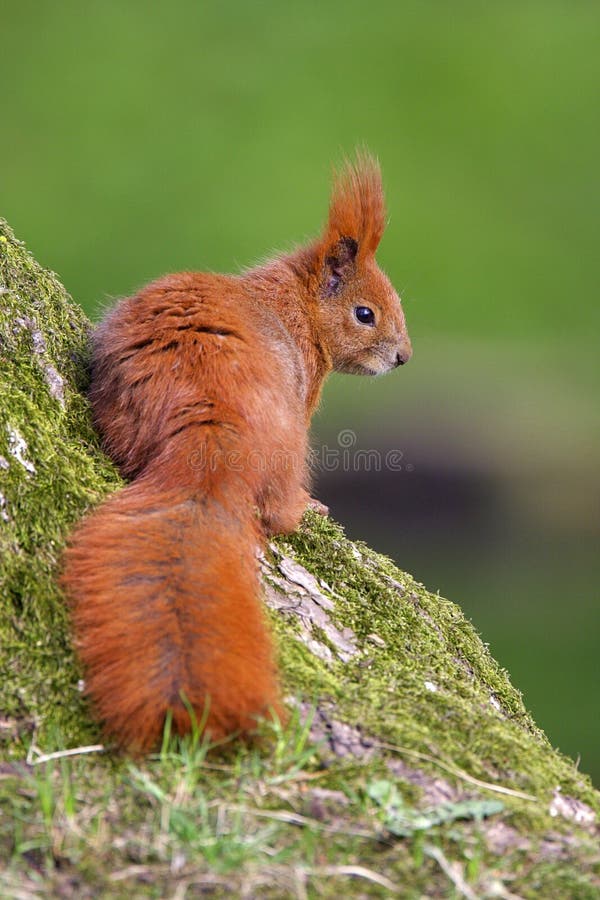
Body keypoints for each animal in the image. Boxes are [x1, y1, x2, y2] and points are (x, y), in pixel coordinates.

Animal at [61, 154, 412, 753]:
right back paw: (307, 508)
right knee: (276, 507)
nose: (403, 357)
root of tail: (210, 443)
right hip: (292, 447)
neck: (295, 302)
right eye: (366, 314)